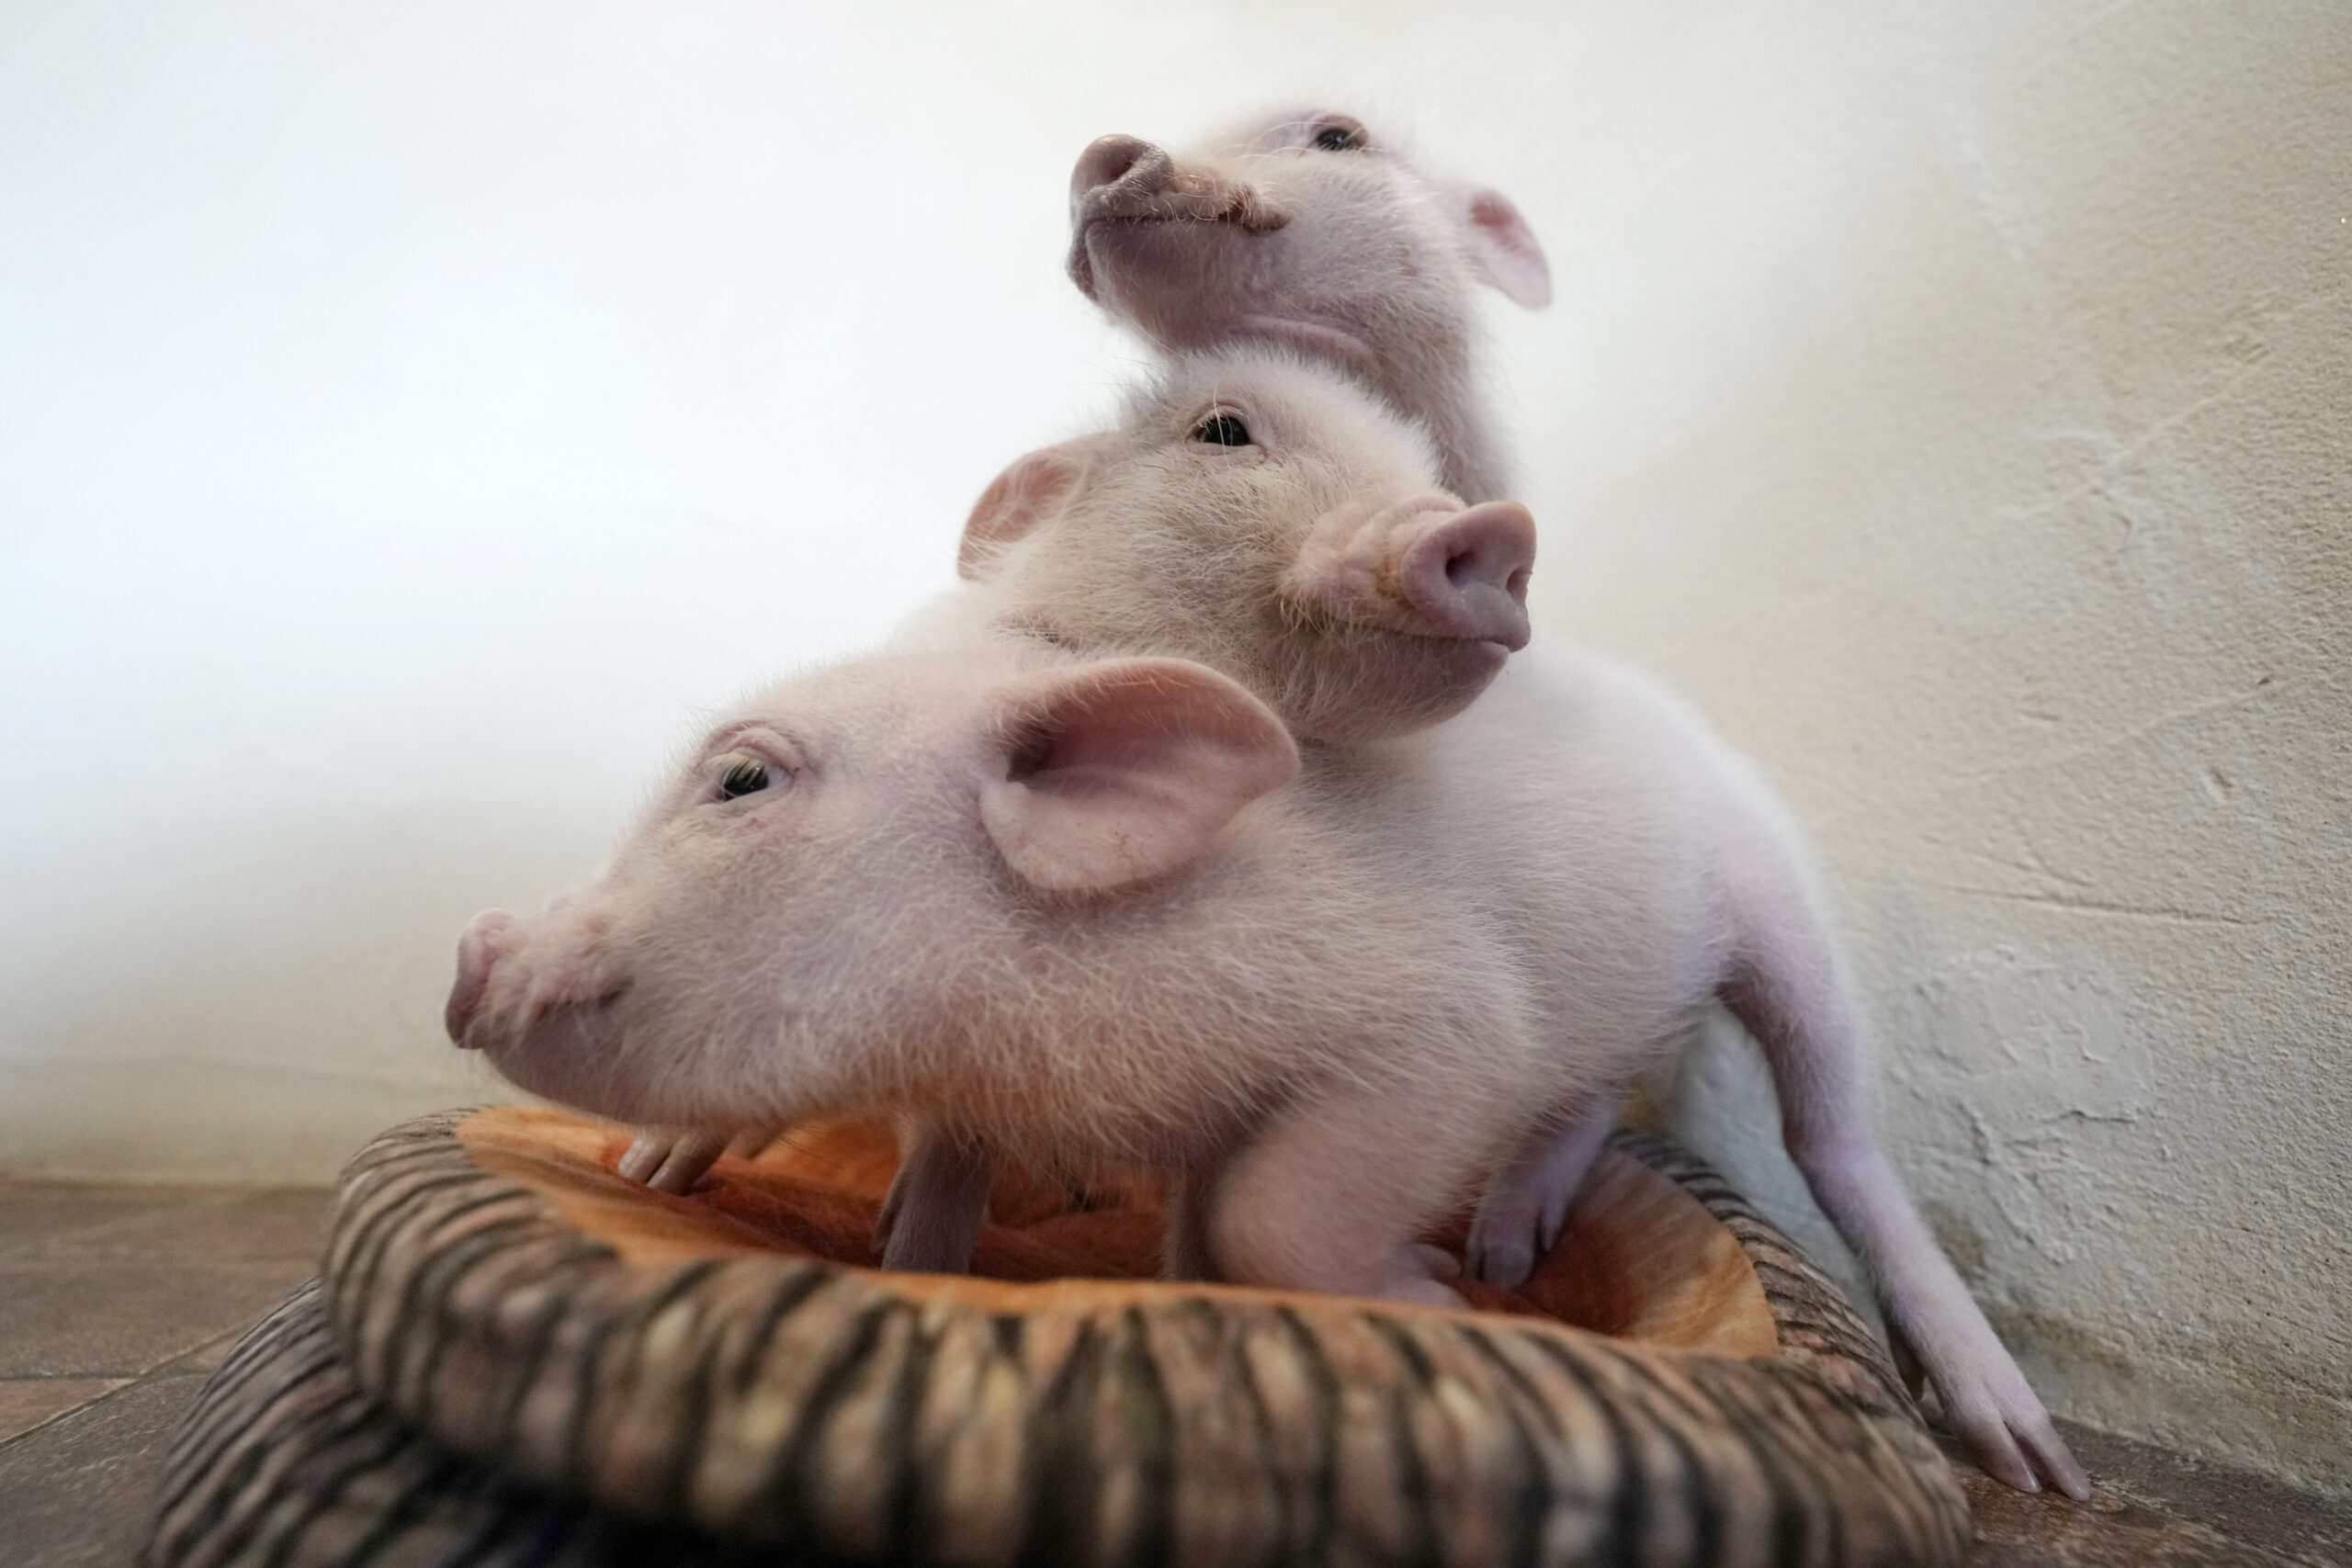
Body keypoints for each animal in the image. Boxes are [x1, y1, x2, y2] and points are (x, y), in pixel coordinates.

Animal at [449, 629, 2088, 1499]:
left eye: (742, 779)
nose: (476, 945)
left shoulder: (1434, 1026)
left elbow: (1272, 1215)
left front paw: (1432, 1301)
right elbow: (979, 1207)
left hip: (1782, 914)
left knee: (1833, 1133)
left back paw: (2023, 1450)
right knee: (1577, 1095)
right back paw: (1514, 1241)